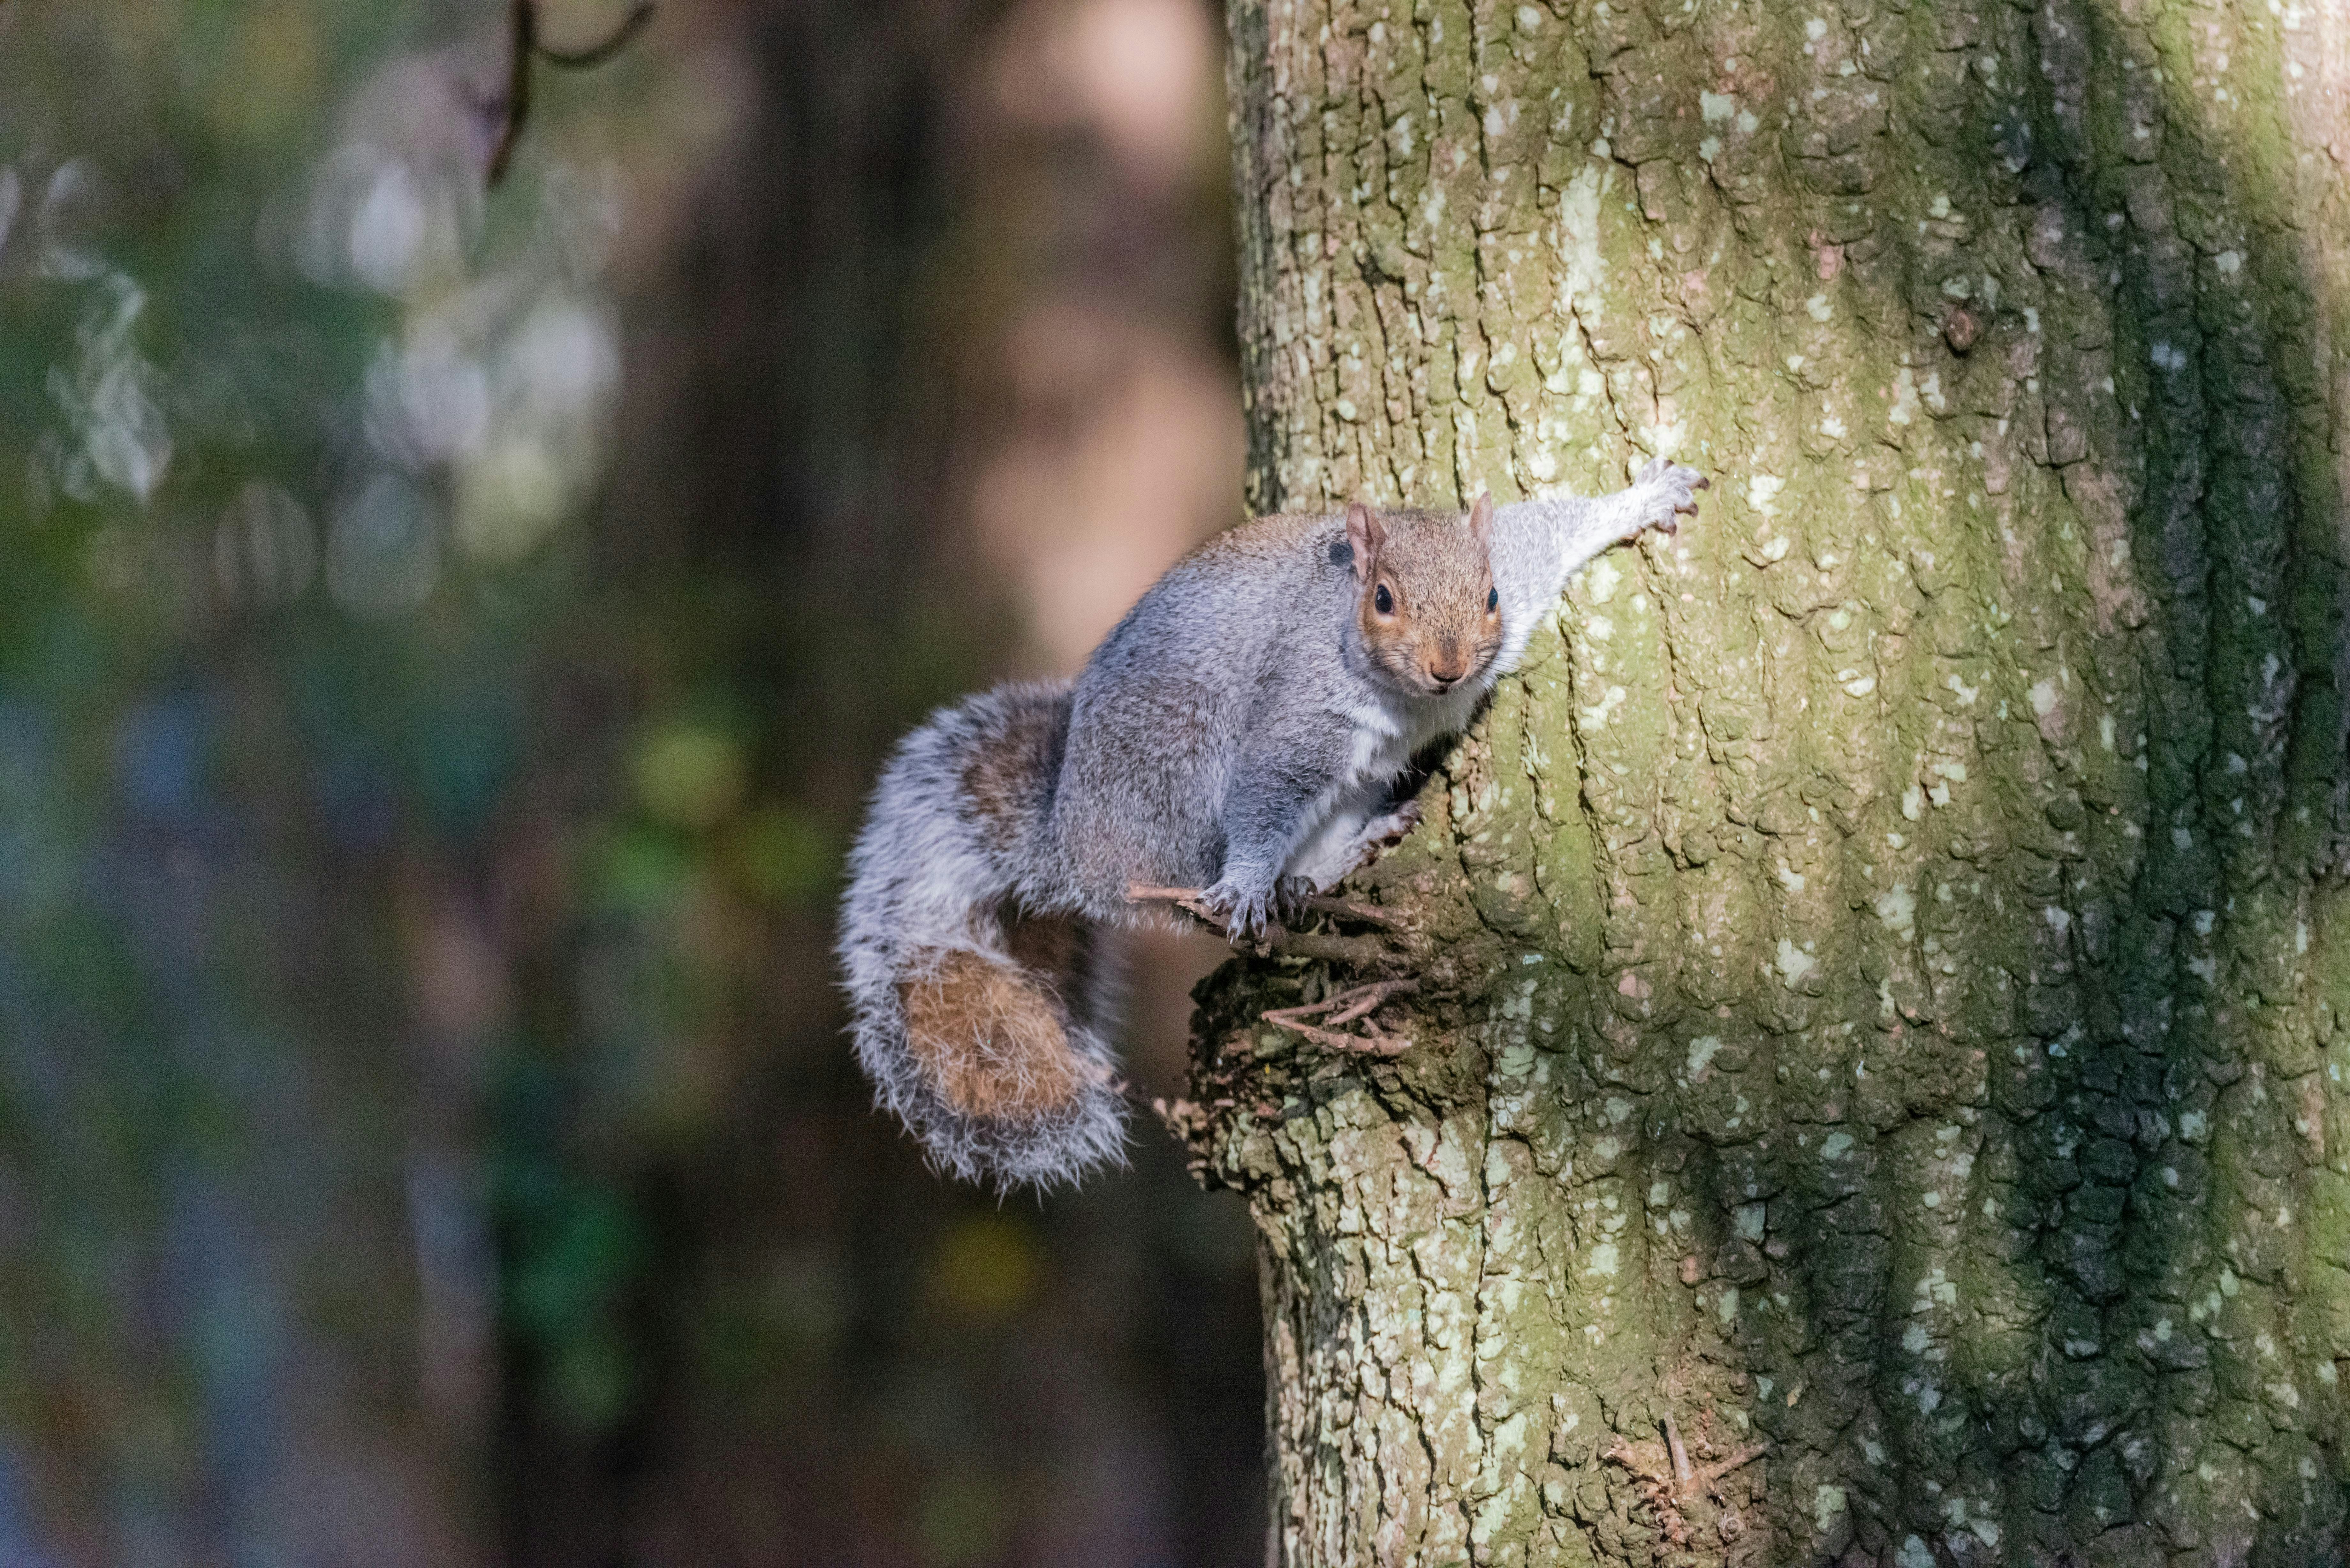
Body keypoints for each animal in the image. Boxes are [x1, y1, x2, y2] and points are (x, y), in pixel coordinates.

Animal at [839, 458, 1707, 1187]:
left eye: (1489, 594)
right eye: (1383, 598)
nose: (1451, 668)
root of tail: (1071, 845)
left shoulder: (1519, 577)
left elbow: (1552, 528)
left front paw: (1641, 497)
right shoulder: (1296, 720)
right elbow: (1264, 797)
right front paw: (1252, 881)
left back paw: (1341, 854)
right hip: (1177, 784)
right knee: (1182, 899)